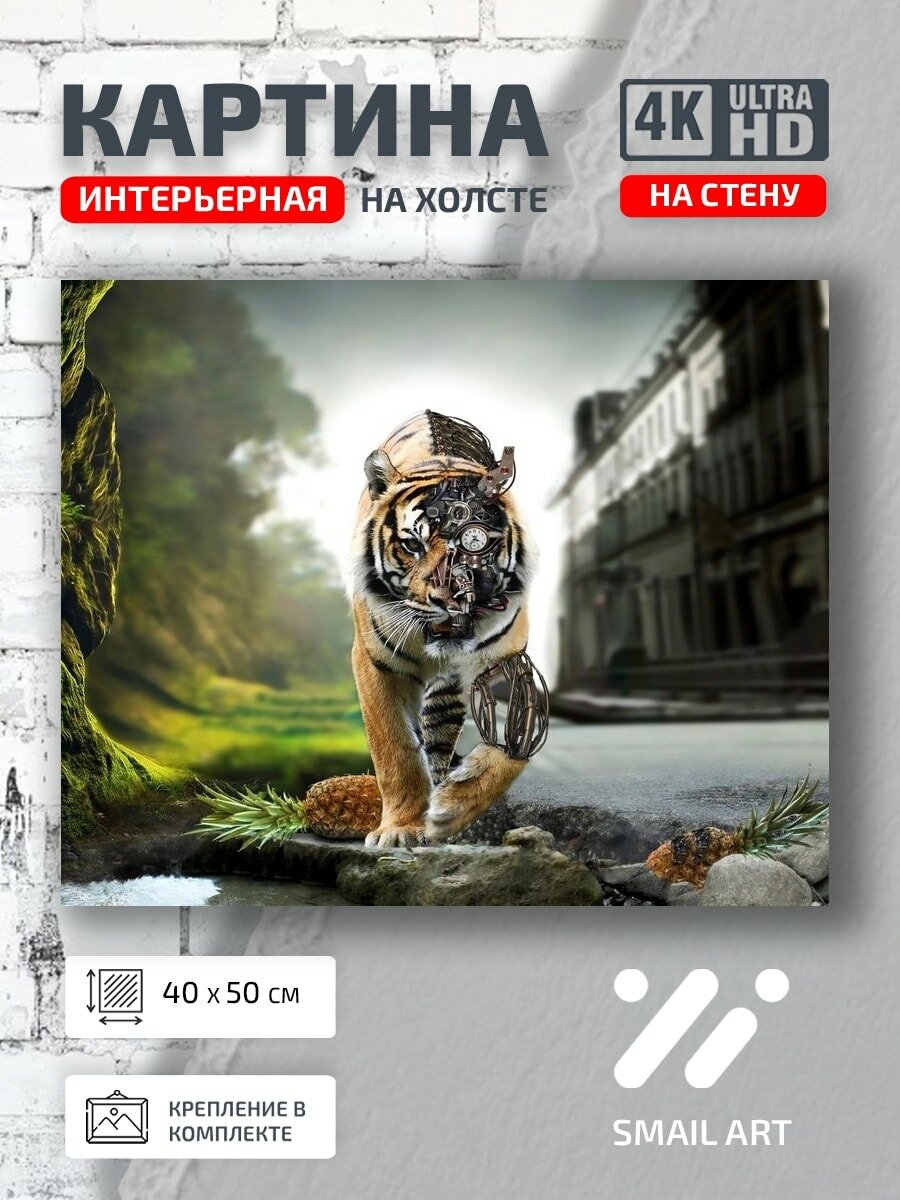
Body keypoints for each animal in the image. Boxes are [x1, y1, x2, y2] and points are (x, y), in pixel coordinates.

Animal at [350, 409, 538, 848]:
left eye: (473, 543)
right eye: (413, 545)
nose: (448, 598)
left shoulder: (506, 663)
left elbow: (510, 747)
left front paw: (451, 807)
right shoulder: (375, 664)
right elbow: (396, 750)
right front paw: (400, 828)